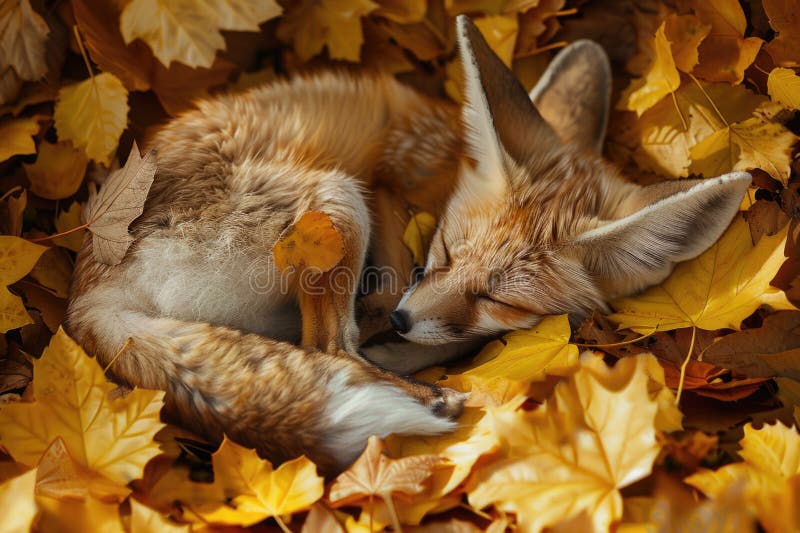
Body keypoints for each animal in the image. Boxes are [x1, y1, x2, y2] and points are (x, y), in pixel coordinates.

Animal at [65, 16, 749, 473]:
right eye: (443, 251)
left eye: (500, 298)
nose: (400, 320)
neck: (446, 165)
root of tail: (89, 290)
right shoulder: (387, 198)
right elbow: (395, 306)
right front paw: (407, 343)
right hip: (337, 199)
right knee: (328, 346)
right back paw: (425, 390)